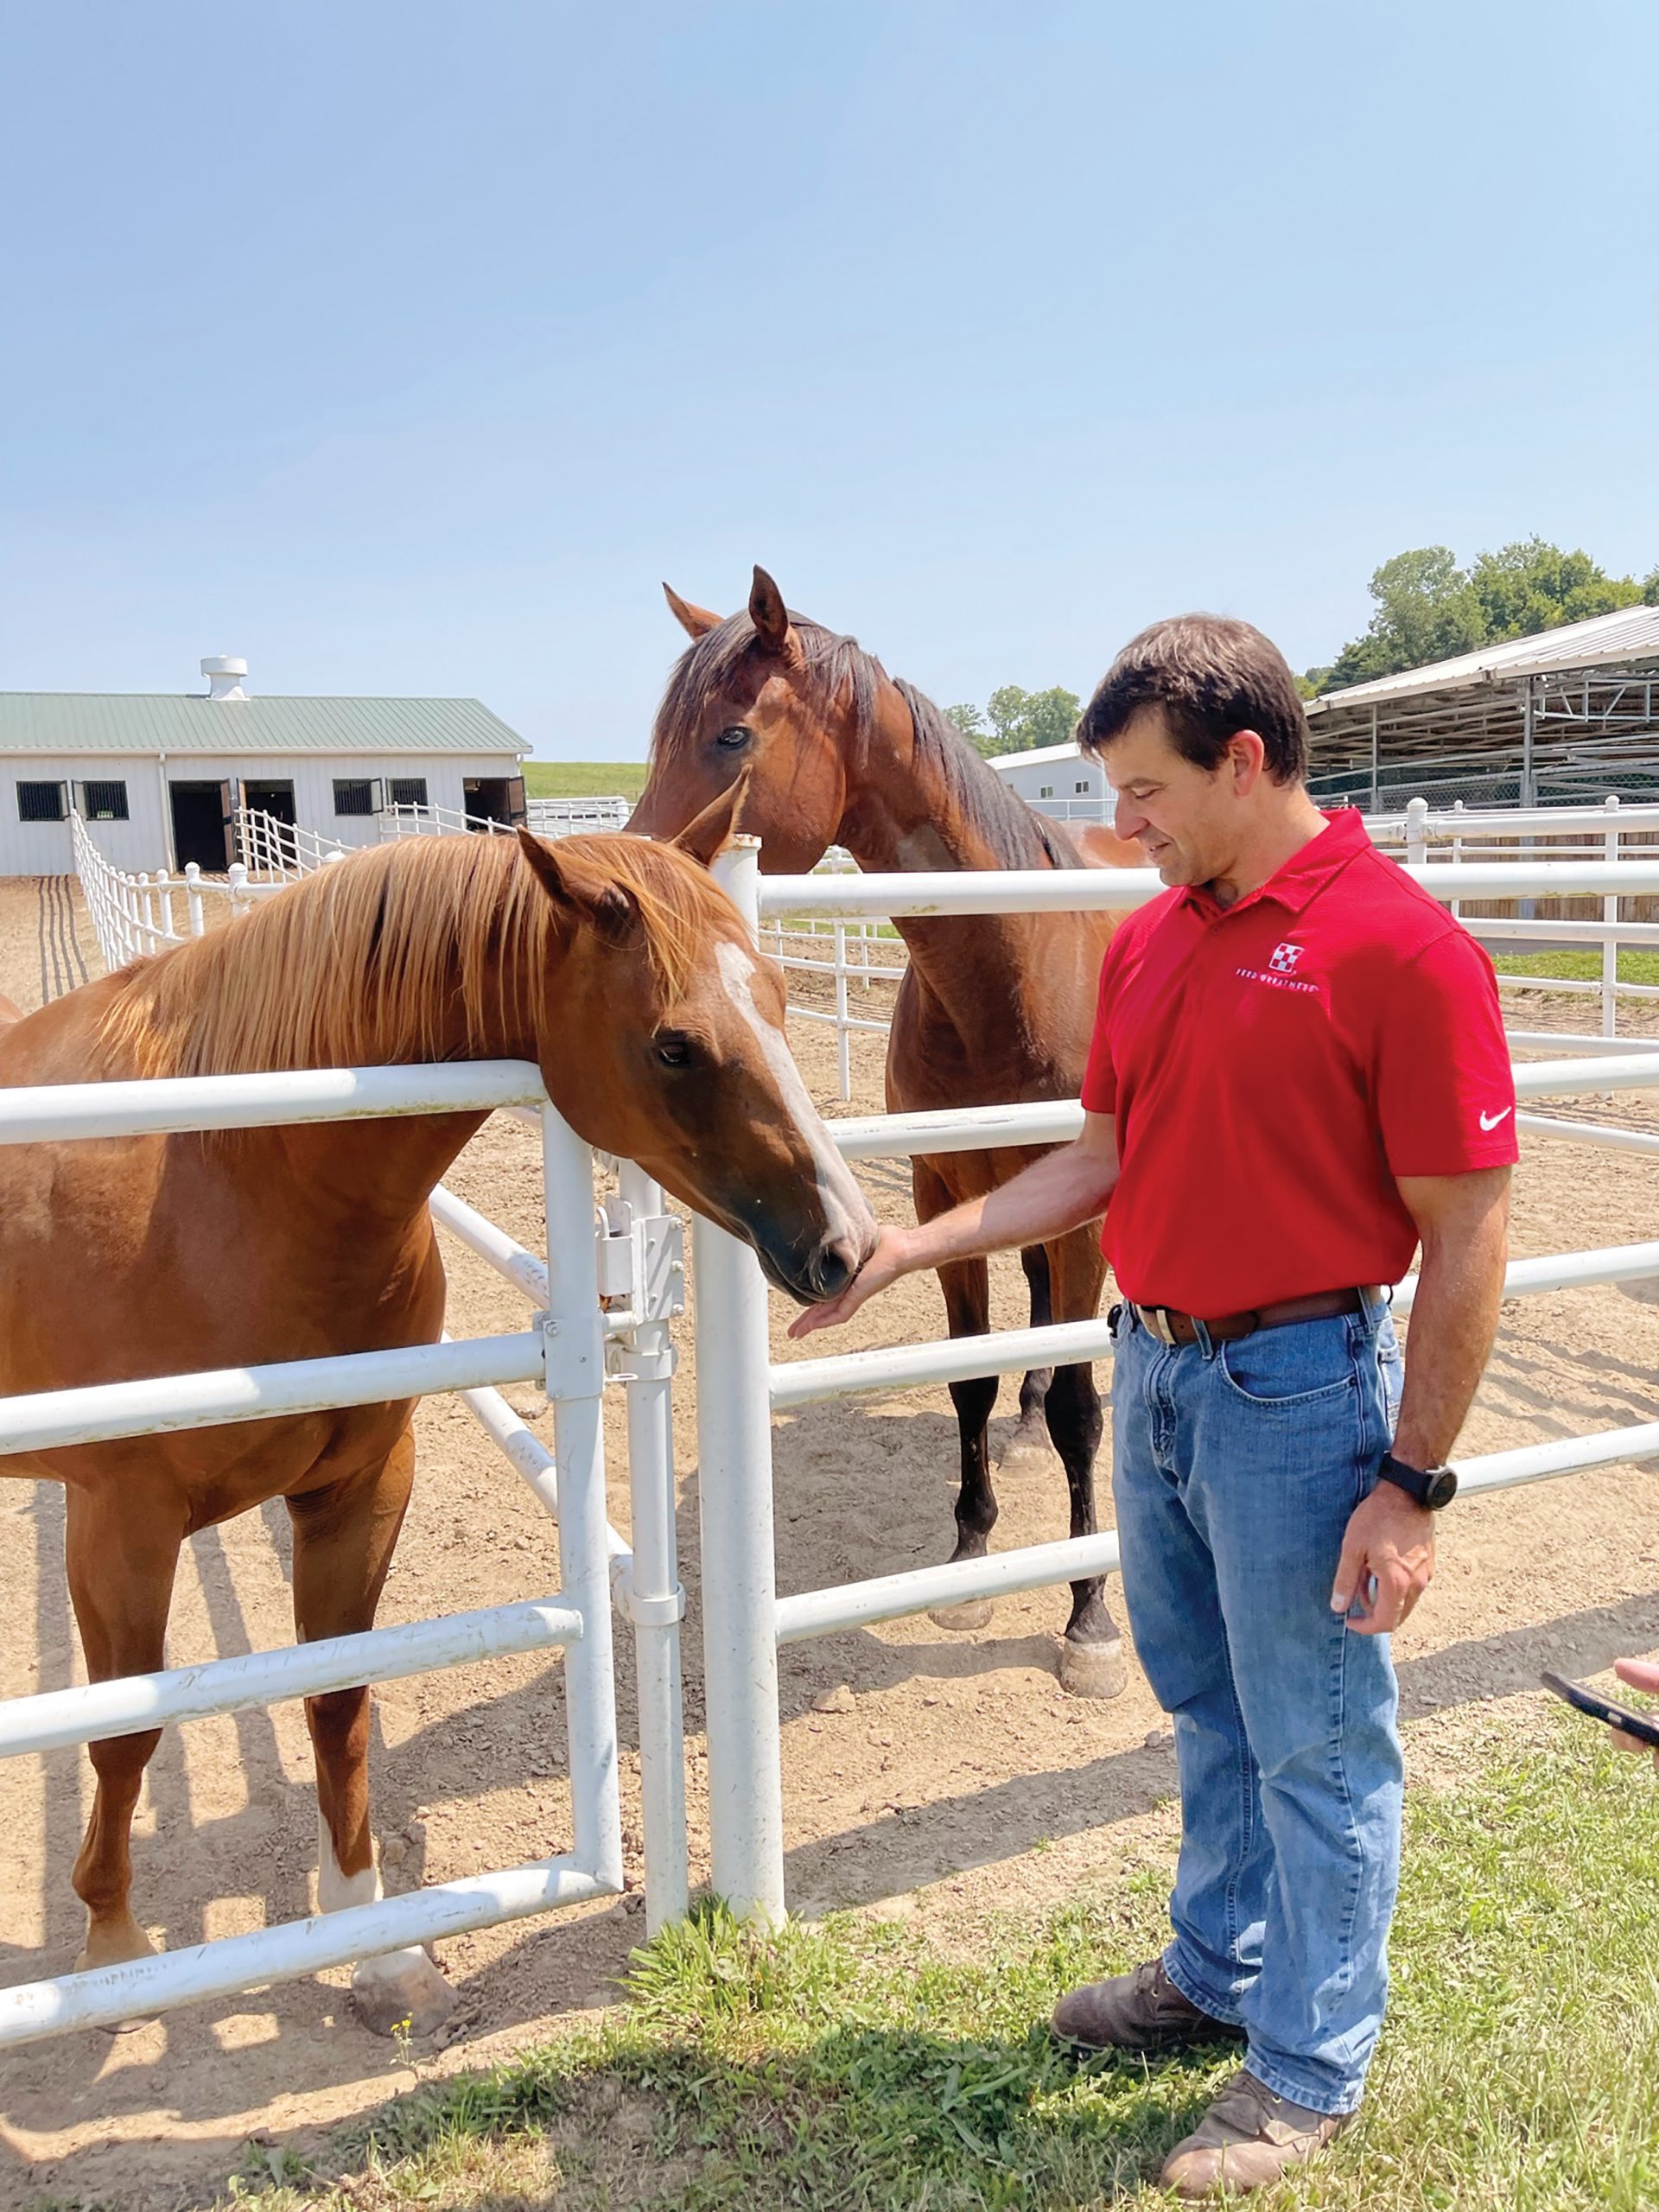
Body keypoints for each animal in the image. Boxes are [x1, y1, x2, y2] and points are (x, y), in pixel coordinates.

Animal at [0, 792, 874, 2034]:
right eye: (674, 1045)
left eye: (781, 999)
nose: (849, 1244)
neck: (221, 1179)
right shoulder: (119, 1525)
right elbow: (125, 1729)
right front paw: (114, 1954)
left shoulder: (360, 1485)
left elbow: (338, 1700)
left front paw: (376, 1943)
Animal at [628, 568, 1148, 1700]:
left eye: (732, 736)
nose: (643, 883)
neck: (1011, 975)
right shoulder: (943, 1188)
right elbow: (968, 1379)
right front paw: (967, 1558)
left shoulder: (1083, 1210)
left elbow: (1087, 1405)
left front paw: (1089, 1615)